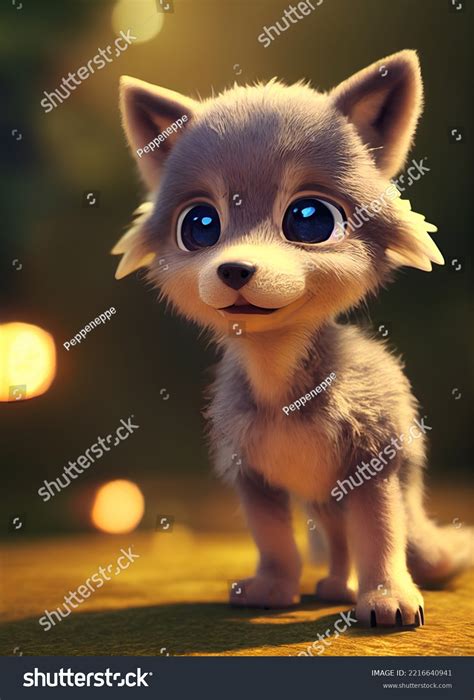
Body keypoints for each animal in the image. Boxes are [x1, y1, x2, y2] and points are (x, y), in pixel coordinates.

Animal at [114, 50, 472, 626]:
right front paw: (273, 589)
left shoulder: (374, 461)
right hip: (324, 502)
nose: (235, 269)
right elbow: (276, 542)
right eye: (200, 225)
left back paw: (348, 589)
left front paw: (387, 599)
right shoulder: (252, 474)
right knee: (337, 541)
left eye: (309, 220)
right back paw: (334, 586)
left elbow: (382, 537)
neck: (284, 393)